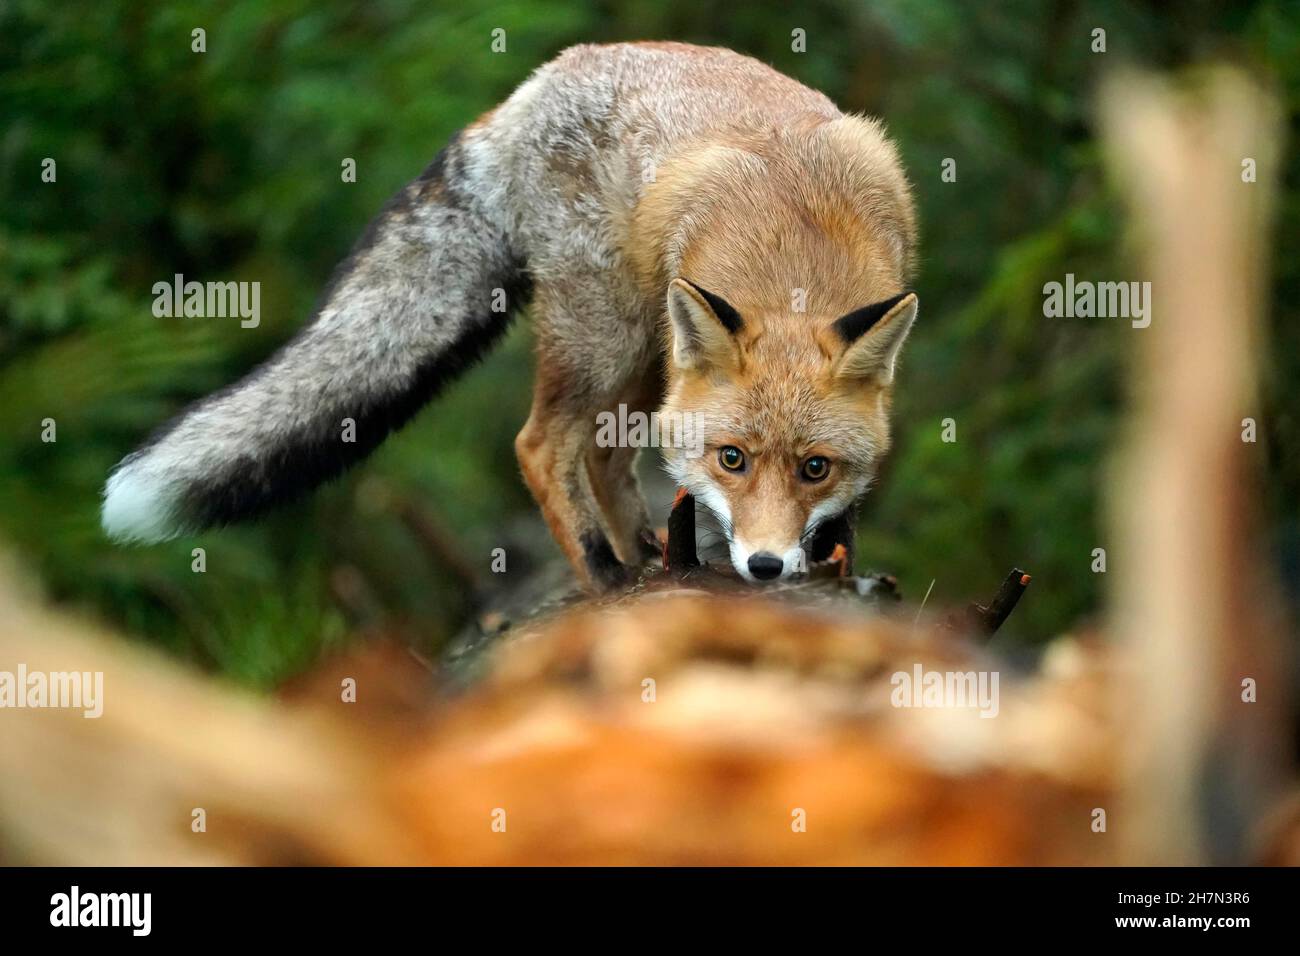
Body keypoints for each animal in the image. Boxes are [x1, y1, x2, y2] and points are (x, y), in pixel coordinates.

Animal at [101, 41, 918, 591]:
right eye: (732, 459)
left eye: (815, 467)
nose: (767, 565)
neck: (795, 236)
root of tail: (531, 86)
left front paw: (835, 561)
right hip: (607, 335)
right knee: (542, 445)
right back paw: (606, 575)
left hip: (645, 348)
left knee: (604, 454)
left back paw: (649, 557)